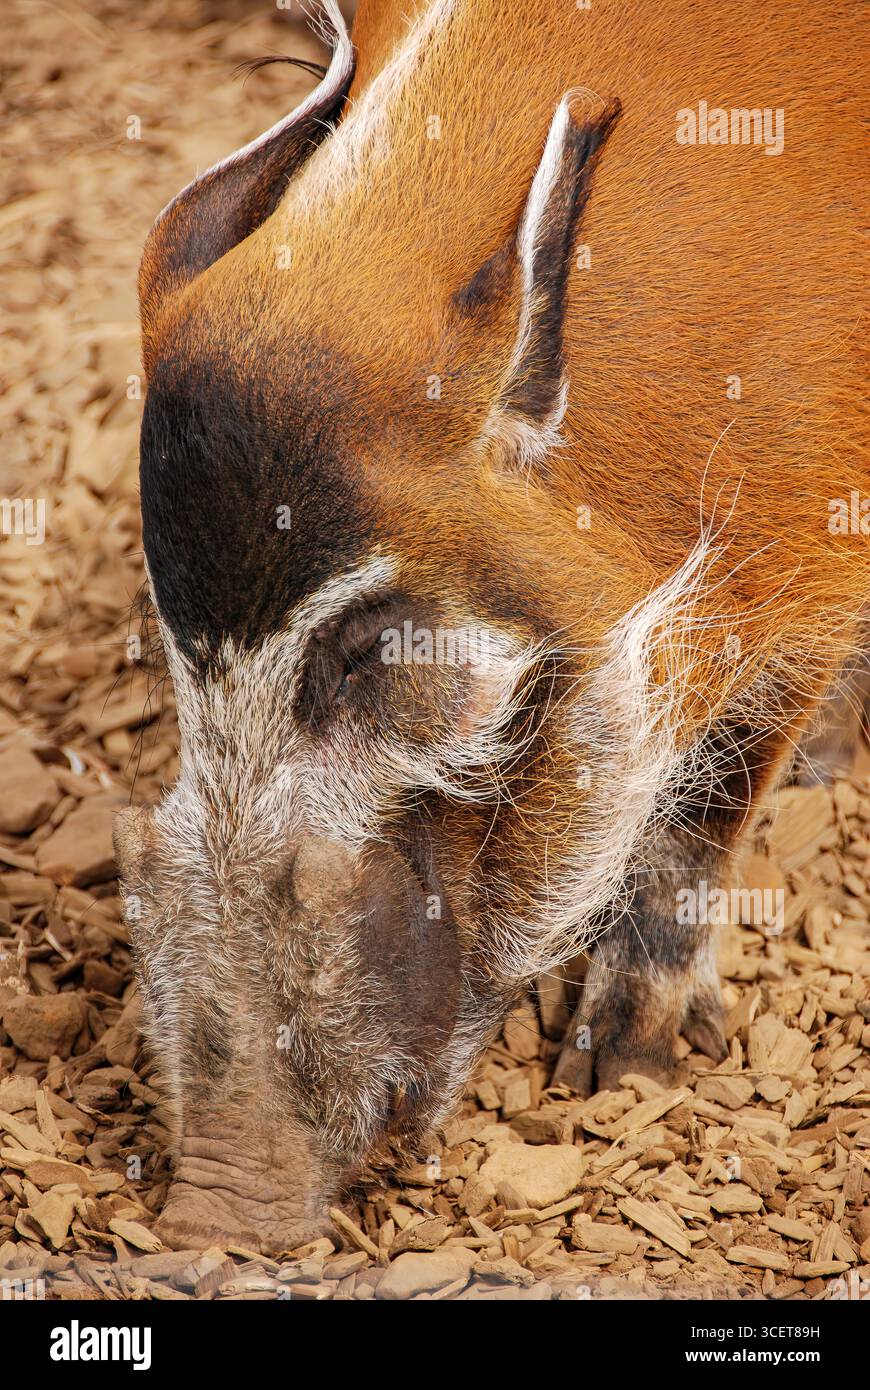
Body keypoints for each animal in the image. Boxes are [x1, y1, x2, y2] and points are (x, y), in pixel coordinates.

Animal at [115, 0, 869, 1253]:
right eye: (177, 651)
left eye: (372, 652)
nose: (211, 1211)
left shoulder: (808, 556)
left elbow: (710, 804)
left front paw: (622, 1073)